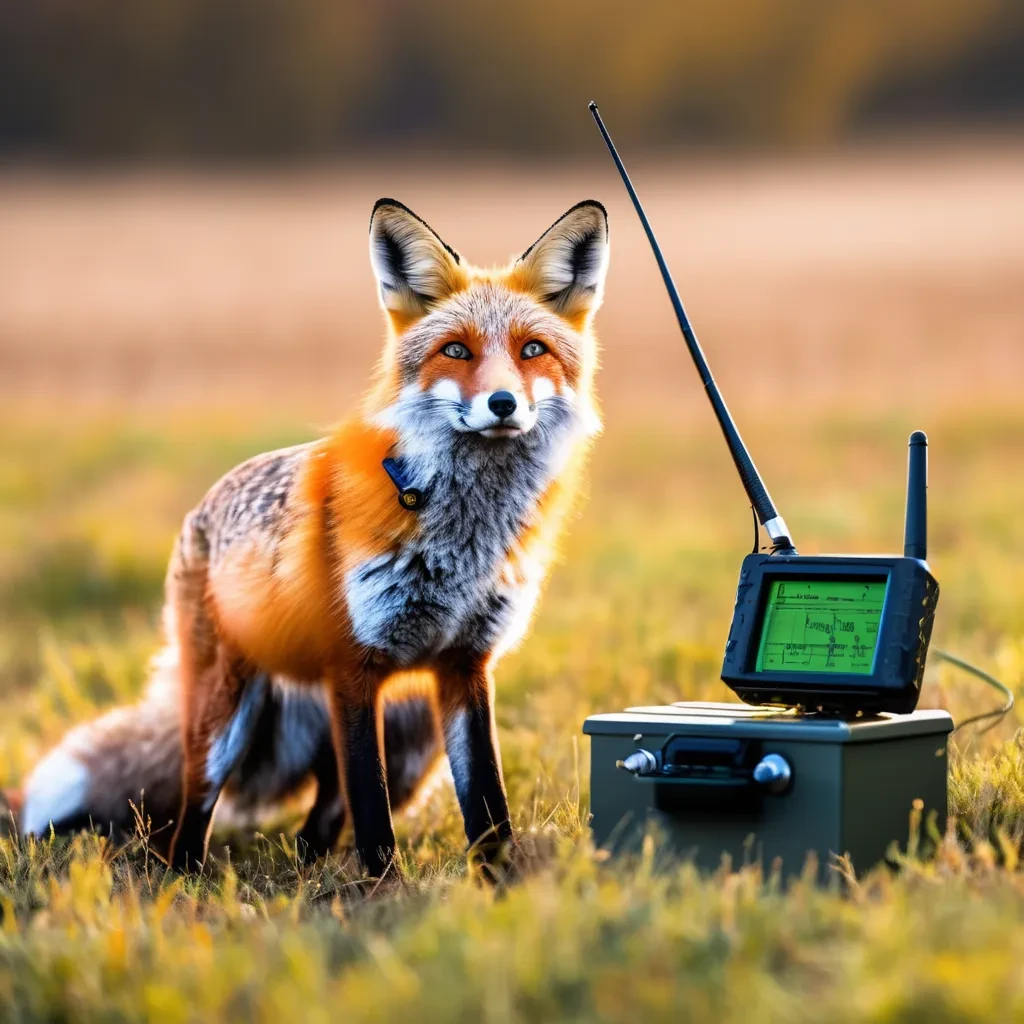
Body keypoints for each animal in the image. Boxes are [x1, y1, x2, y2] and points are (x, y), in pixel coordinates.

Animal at [21, 197, 609, 877]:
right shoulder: (351, 667)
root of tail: (208, 502)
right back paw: (187, 879)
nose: (504, 403)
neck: (464, 540)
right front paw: (386, 894)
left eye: (532, 348)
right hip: (225, 720)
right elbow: (373, 818)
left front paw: (498, 888)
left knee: (319, 821)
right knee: (193, 822)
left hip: (410, 732)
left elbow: (487, 808)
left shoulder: (466, 665)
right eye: (456, 351)